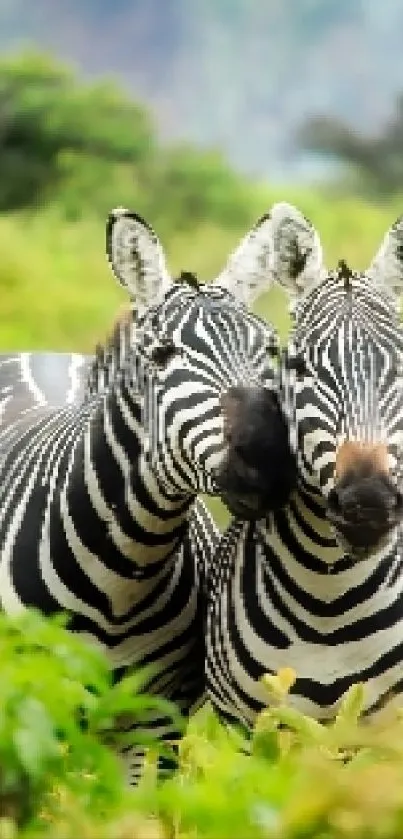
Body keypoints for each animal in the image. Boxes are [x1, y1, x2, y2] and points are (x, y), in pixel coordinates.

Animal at [0, 207, 295, 781]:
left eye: (271, 349)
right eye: (162, 354)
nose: (270, 462)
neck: (123, 570)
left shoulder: (153, 726)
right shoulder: (26, 706)